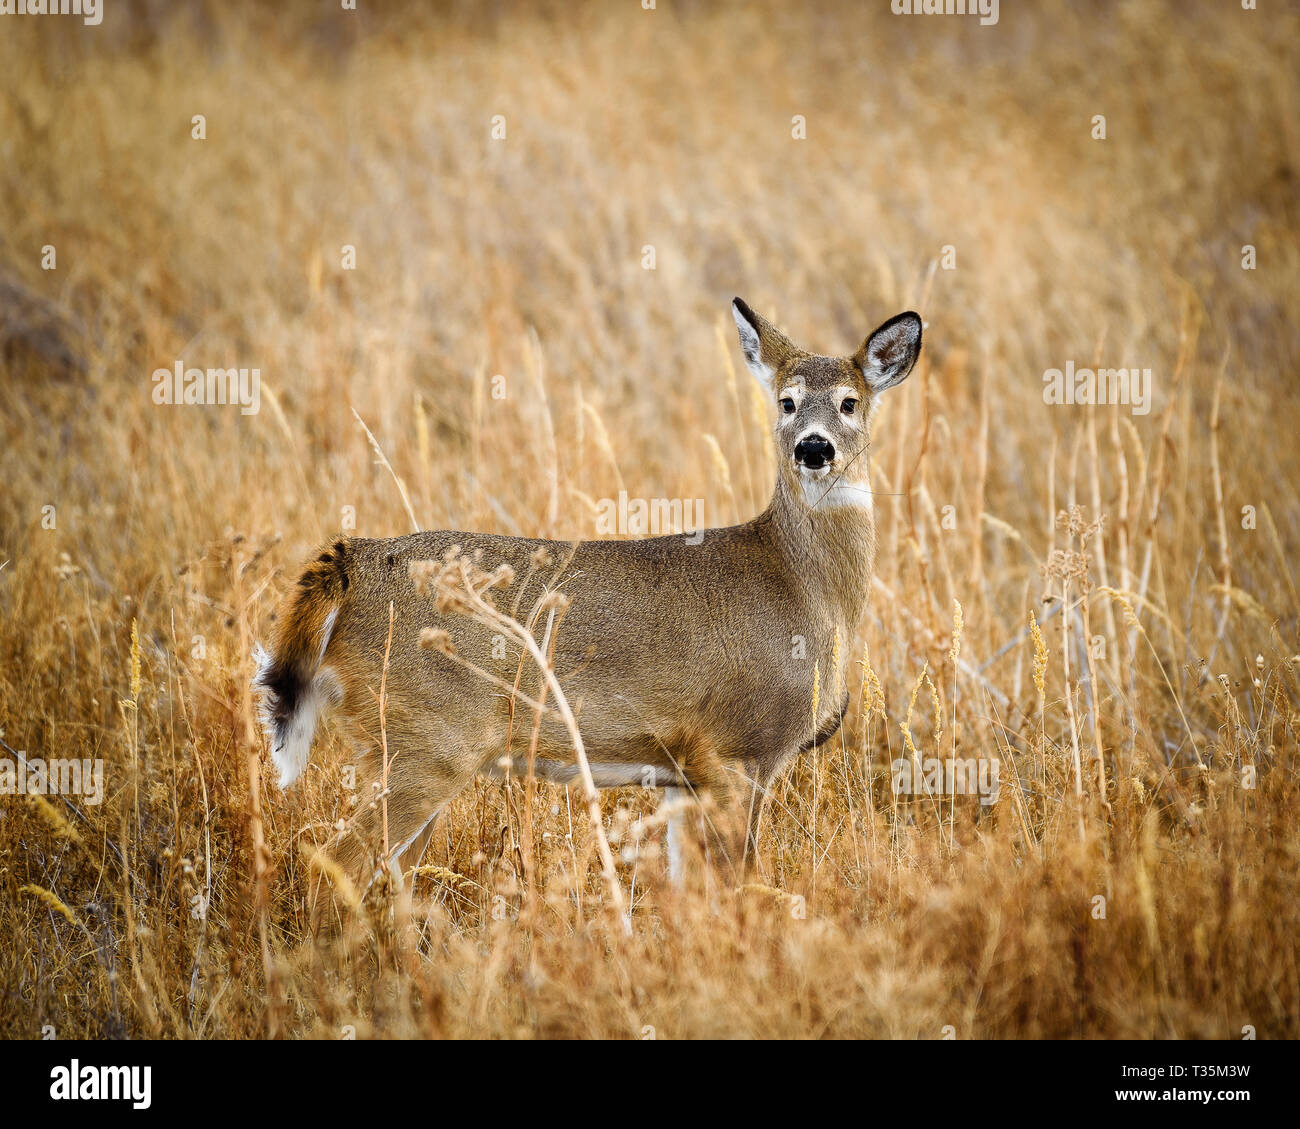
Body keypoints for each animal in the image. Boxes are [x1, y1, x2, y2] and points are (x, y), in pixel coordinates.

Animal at [252, 299, 922, 896]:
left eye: (850, 402)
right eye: (786, 401)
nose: (814, 448)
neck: (806, 589)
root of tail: (355, 562)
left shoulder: (686, 771)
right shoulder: (739, 749)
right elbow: (737, 887)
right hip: (427, 743)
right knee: (333, 865)